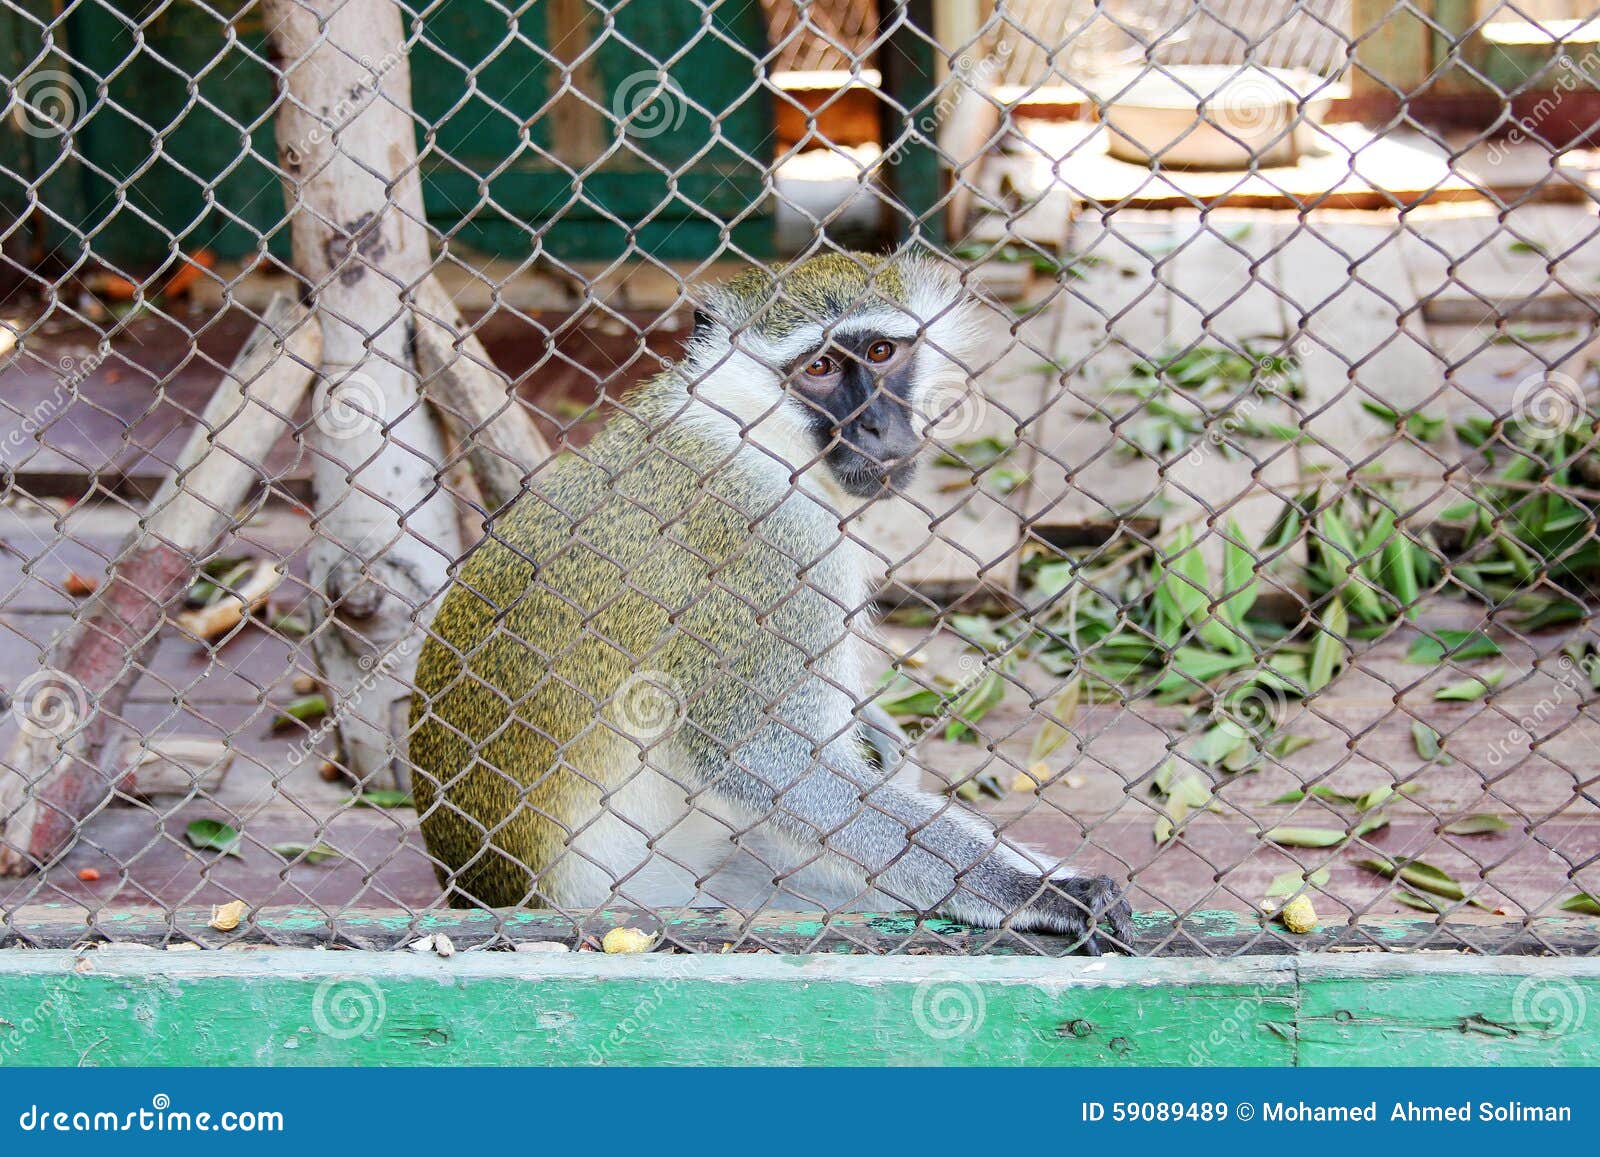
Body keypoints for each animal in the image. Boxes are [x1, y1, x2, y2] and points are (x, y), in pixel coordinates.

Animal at [408, 250, 1133, 952]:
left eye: (881, 353)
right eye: (818, 368)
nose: (878, 426)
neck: (754, 433)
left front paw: (886, 738)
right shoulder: (768, 545)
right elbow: (766, 756)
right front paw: (1037, 892)